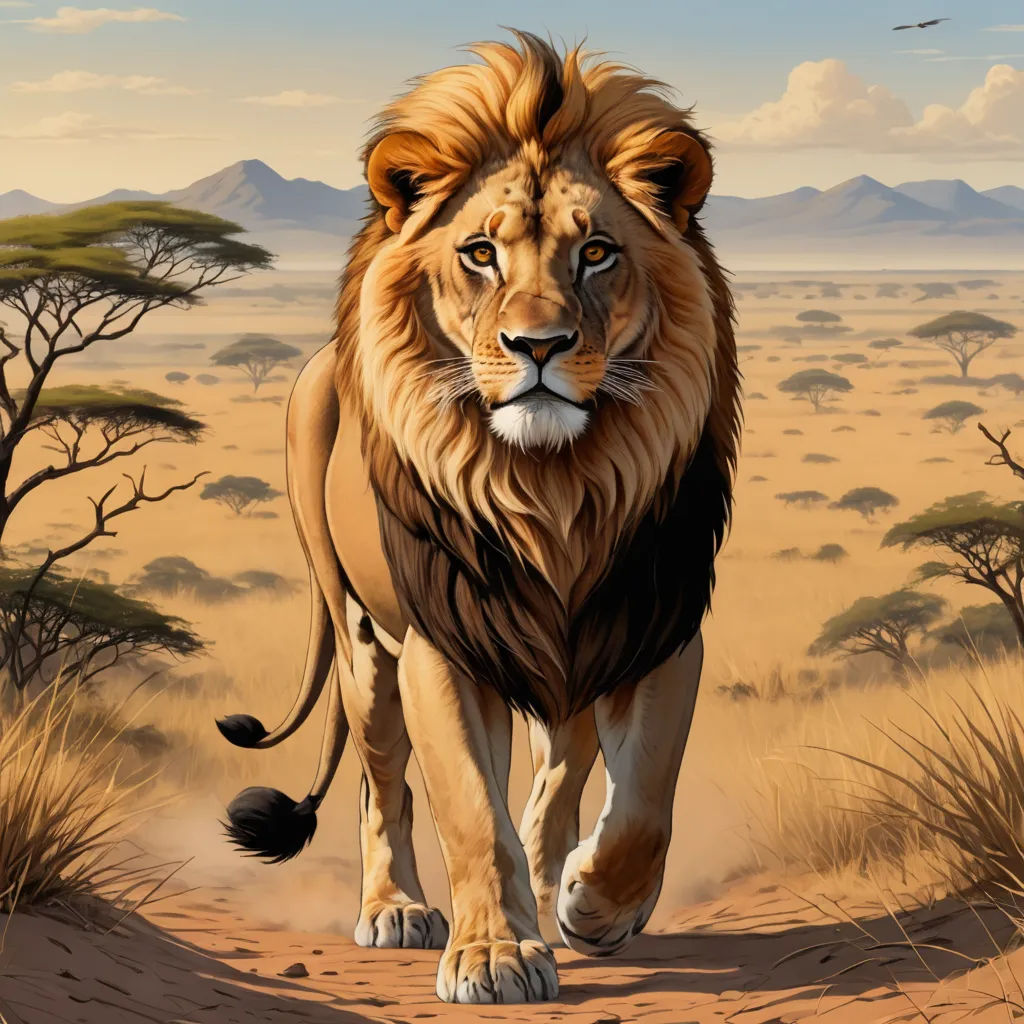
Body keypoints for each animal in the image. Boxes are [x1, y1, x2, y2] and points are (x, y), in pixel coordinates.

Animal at [216, 31, 741, 1005]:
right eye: (480, 255)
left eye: (598, 252)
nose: (538, 346)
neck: (554, 492)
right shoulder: (448, 643)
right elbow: (467, 804)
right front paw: (496, 953)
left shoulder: (649, 628)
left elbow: (641, 800)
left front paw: (591, 904)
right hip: (362, 638)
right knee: (383, 783)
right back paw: (397, 909)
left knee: (559, 770)